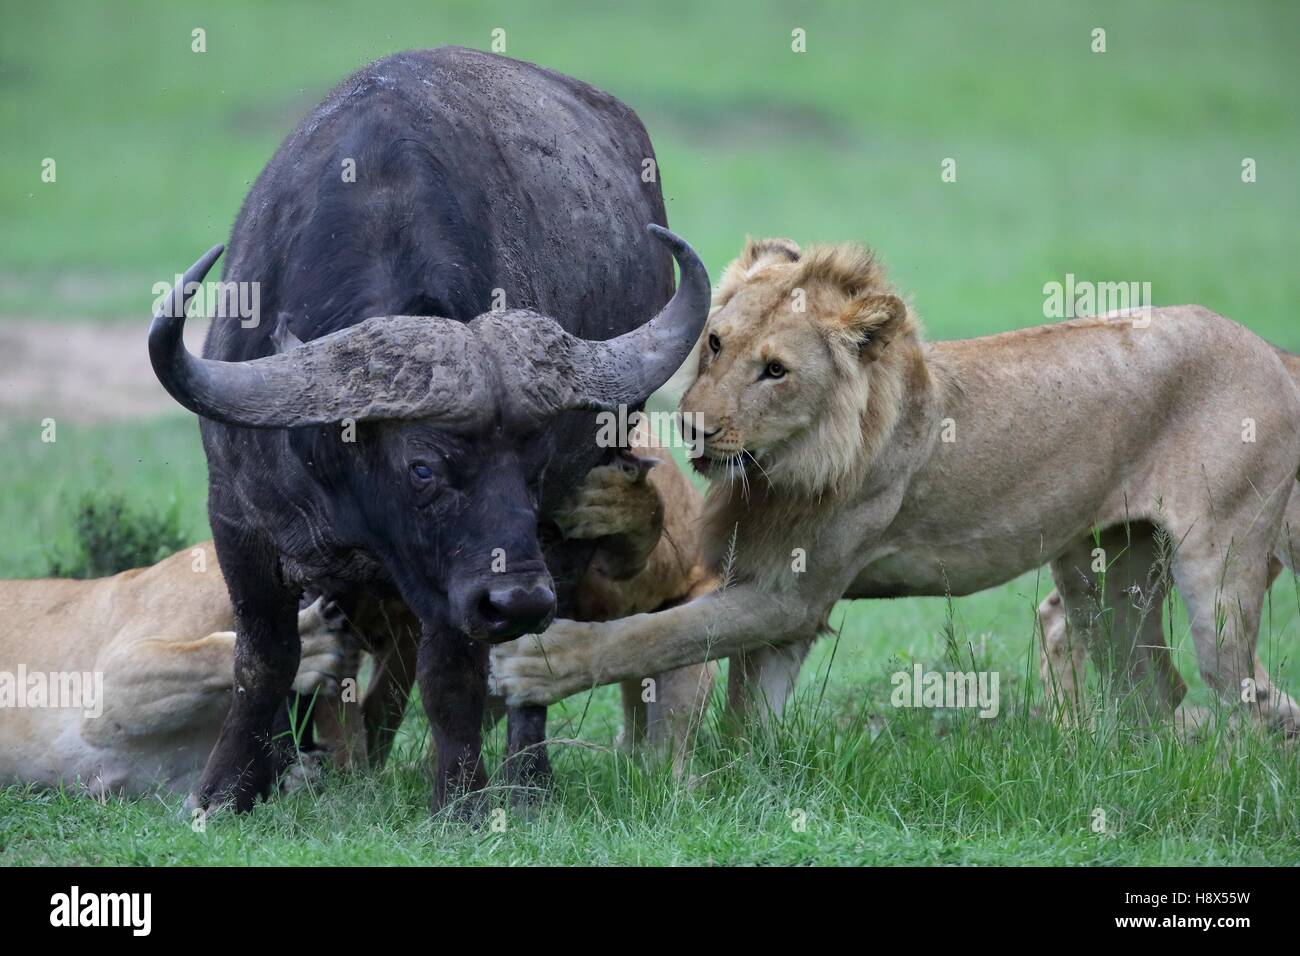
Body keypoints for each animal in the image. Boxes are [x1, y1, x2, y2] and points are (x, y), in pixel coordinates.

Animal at [491, 236, 1300, 737]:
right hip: (1105, 577)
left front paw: (538, 663)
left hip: (1218, 574)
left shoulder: (790, 598)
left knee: (1243, 696)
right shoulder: (766, 590)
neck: (781, 465)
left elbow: (656, 635)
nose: (693, 427)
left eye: (776, 370)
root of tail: (1266, 347)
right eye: (714, 343)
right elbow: (744, 715)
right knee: (1153, 689)